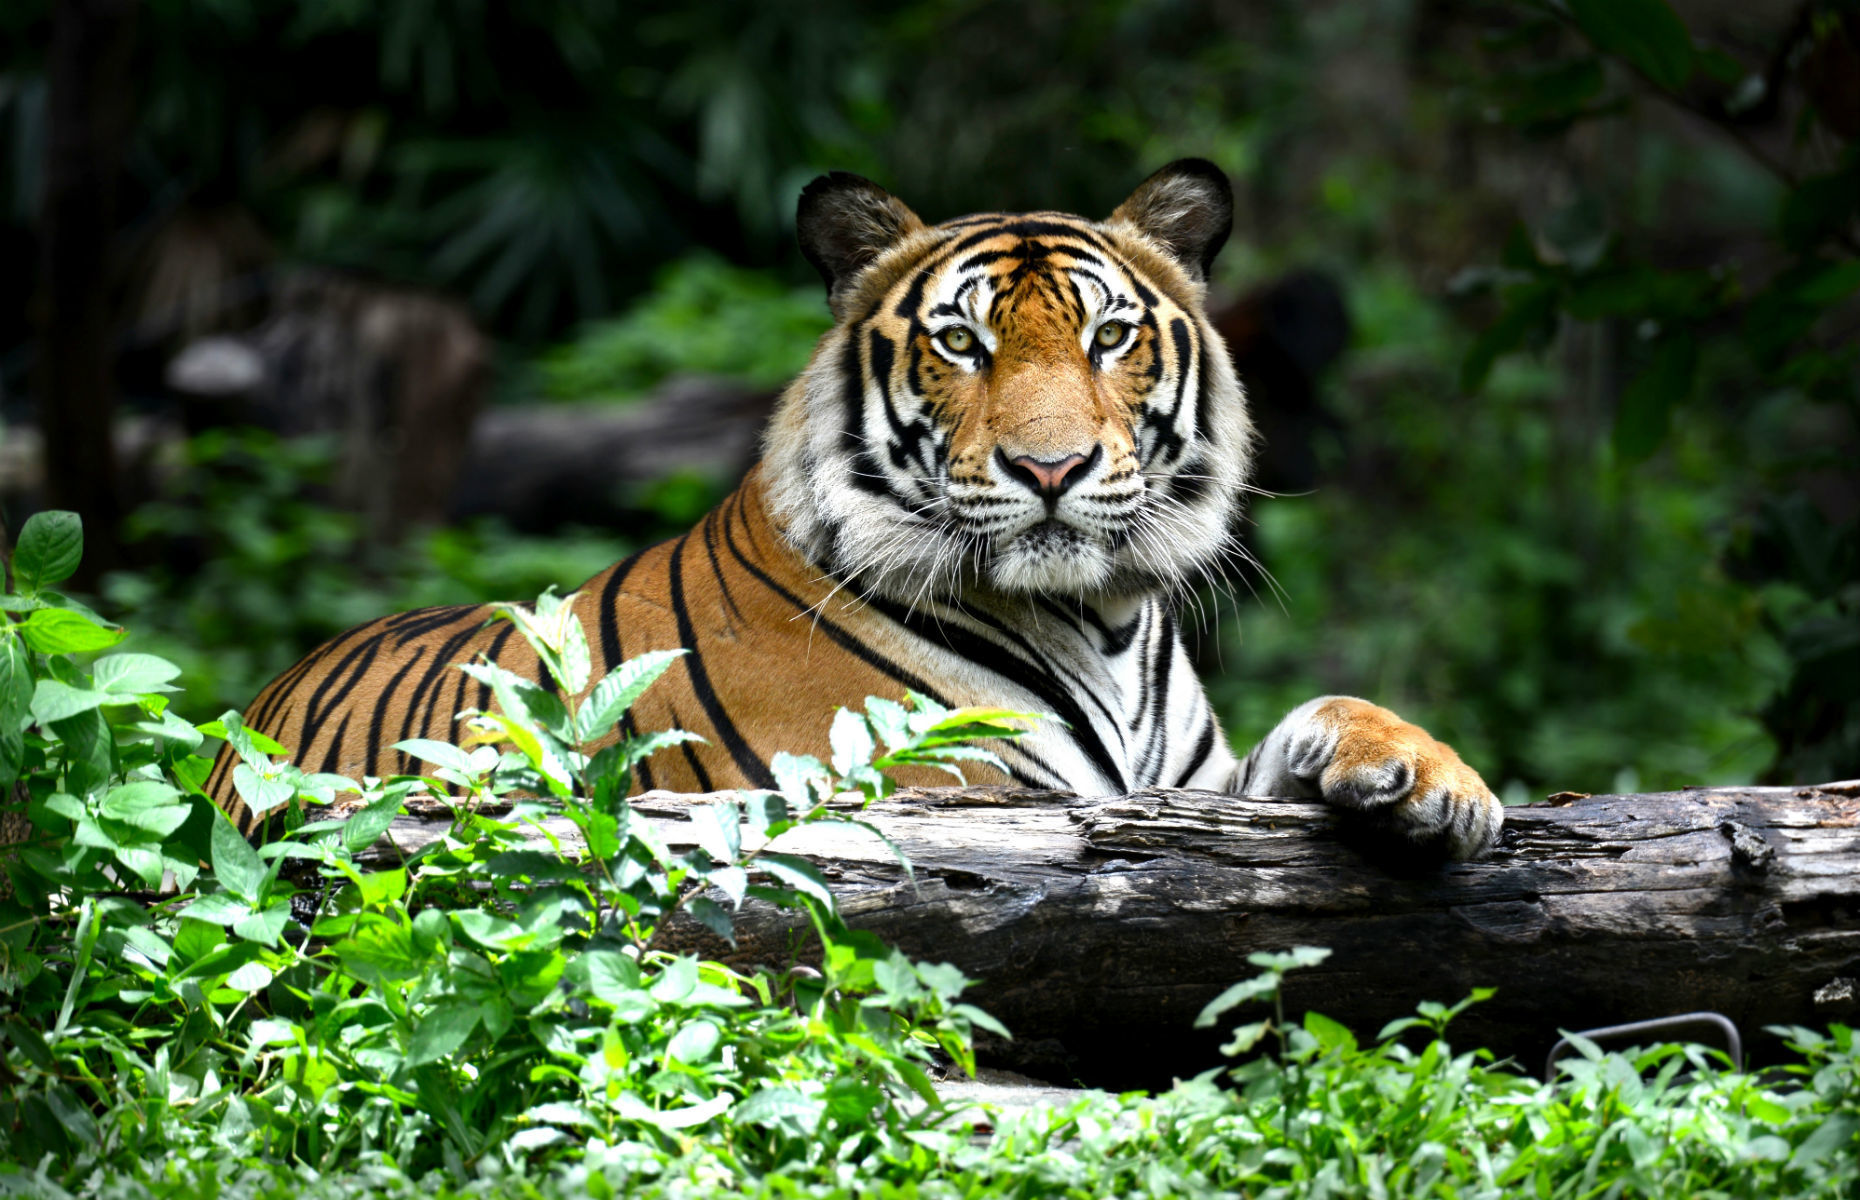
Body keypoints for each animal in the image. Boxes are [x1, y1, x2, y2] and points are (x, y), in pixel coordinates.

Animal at [208, 159, 1503, 859]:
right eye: (962, 343)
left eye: (1108, 337)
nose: (1051, 468)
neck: (1102, 619)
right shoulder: (948, 795)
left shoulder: (1193, 789)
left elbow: (1326, 712)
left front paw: (1435, 781)